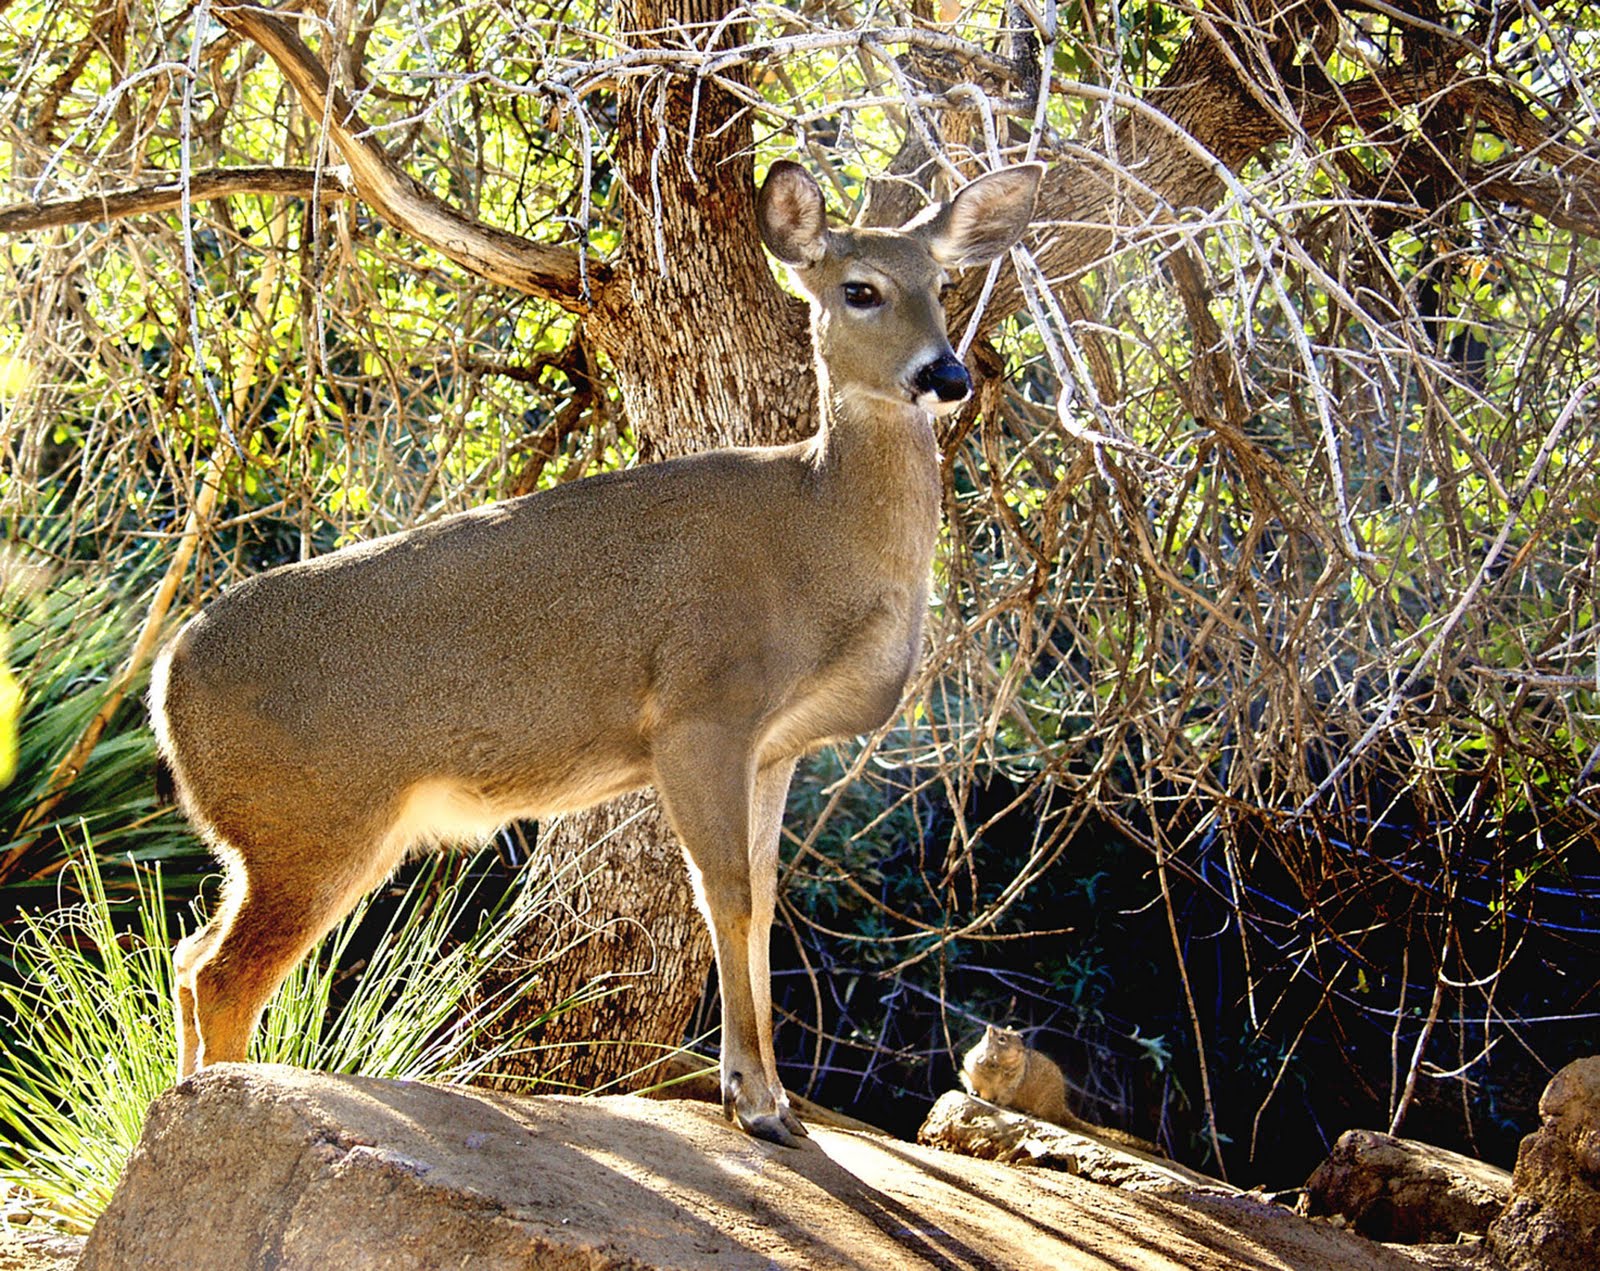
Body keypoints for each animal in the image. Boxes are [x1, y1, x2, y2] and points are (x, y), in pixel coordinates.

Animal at [150, 157, 1041, 1146]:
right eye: (861, 289)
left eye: (945, 285)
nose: (947, 374)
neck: (821, 536)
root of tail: (166, 681)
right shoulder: (701, 708)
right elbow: (726, 892)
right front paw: (755, 1102)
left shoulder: (777, 746)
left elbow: (766, 899)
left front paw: (769, 1099)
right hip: (309, 822)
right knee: (224, 974)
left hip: (282, 839)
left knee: (189, 955)